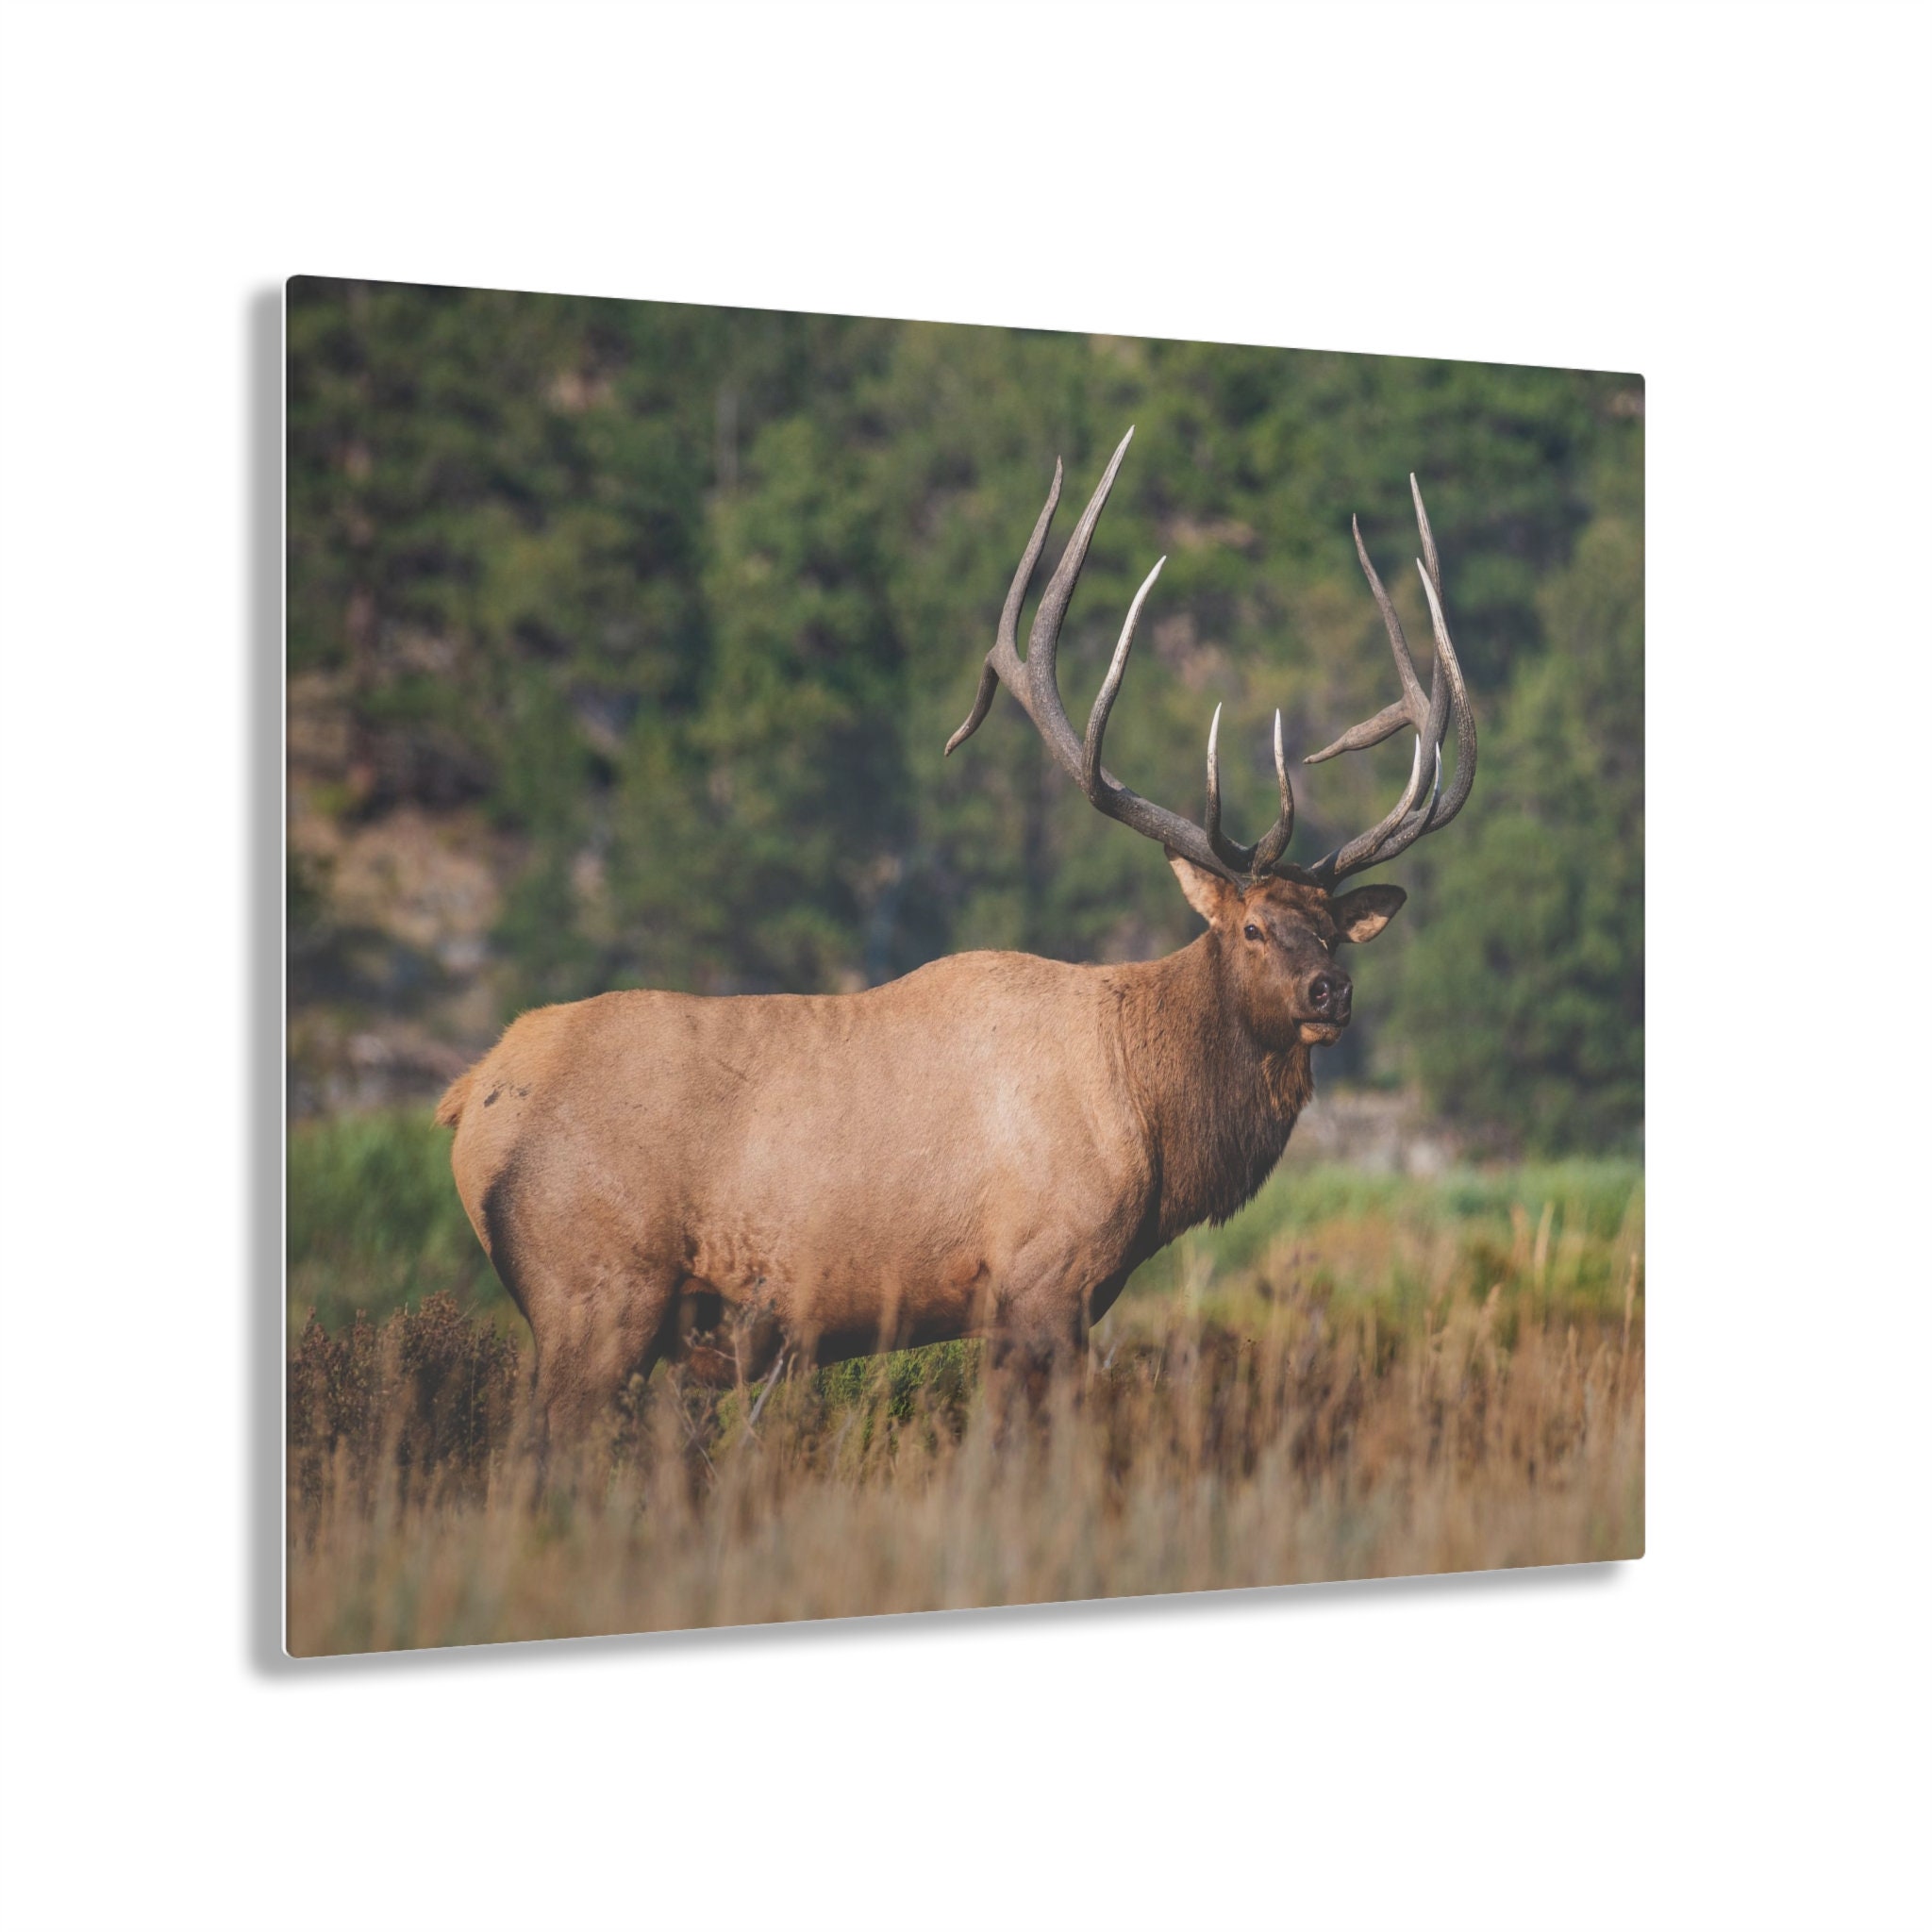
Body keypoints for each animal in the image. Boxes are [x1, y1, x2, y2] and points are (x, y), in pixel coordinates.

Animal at [436, 428, 1477, 1434]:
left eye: (1333, 931)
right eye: (1255, 928)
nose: (1330, 992)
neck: (1153, 1120)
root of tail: (470, 1097)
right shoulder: (1041, 1279)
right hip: (594, 1287)